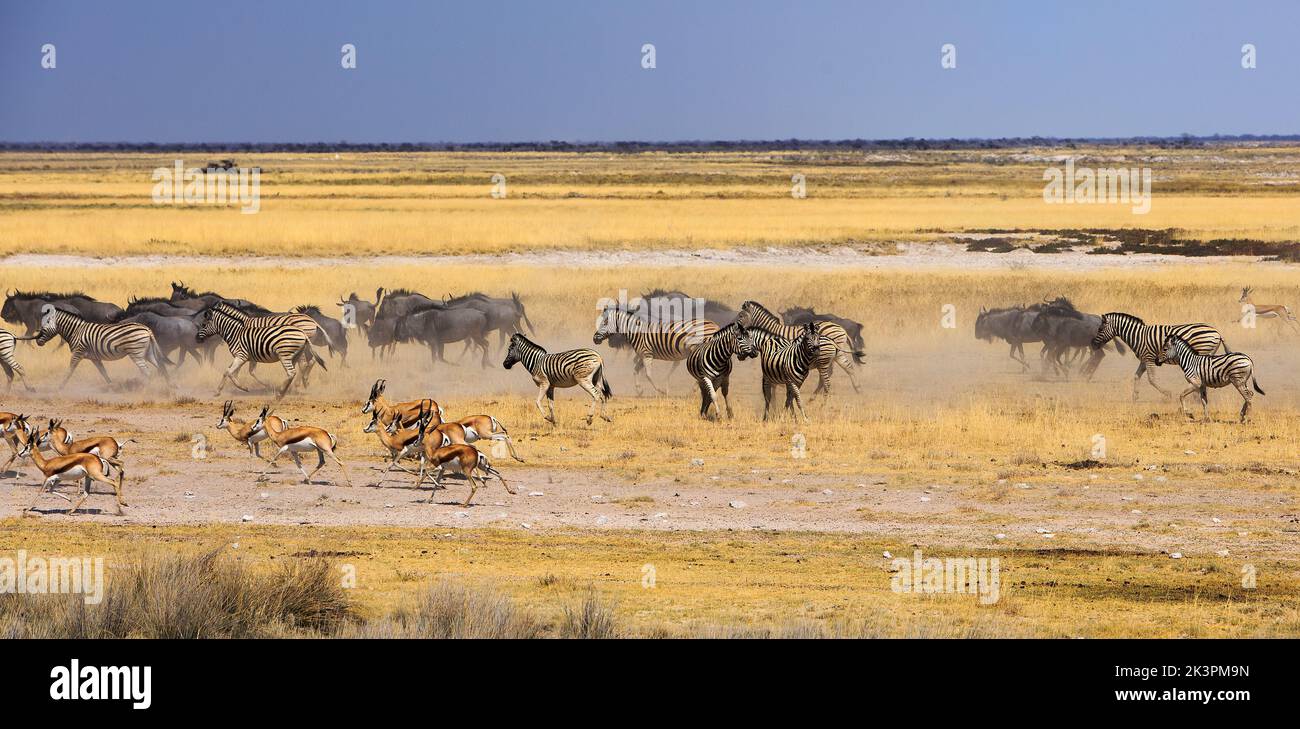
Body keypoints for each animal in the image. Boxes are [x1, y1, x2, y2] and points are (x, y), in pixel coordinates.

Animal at [36, 304, 172, 388]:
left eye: (43, 328)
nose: (38, 342)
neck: (76, 330)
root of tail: (146, 329)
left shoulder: (78, 352)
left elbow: (69, 371)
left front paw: (60, 387)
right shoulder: (94, 358)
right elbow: (103, 372)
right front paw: (111, 386)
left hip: (136, 353)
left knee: (147, 372)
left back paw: (144, 389)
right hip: (148, 352)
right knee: (161, 367)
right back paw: (170, 387)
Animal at [196, 302, 326, 400]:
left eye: (203, 324)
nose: (197, 339)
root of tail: (311, 319)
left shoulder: (245, 352)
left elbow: (235, 371)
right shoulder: (249, 353)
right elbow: (235, 371)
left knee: (303, 364)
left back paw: (293, 386)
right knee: (310, 362)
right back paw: (301, 383)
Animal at [735, 301, 865, 397]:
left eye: (741, 315)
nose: (735, 329)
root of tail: (841, 329)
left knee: (834, 370)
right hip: (837, 353)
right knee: (848, 367)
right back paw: (858, 390)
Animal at [1090, 312, 1227, 401]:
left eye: (1100, 329)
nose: (1093, 344)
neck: (1137, 336)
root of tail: (1217, 333)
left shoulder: (1149, 358)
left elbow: (1151, 379)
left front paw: (1167, 394)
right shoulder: (1144, 359)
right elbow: (1136, 375)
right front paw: (1135, 396)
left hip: (1202, 351)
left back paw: (1195, 397)